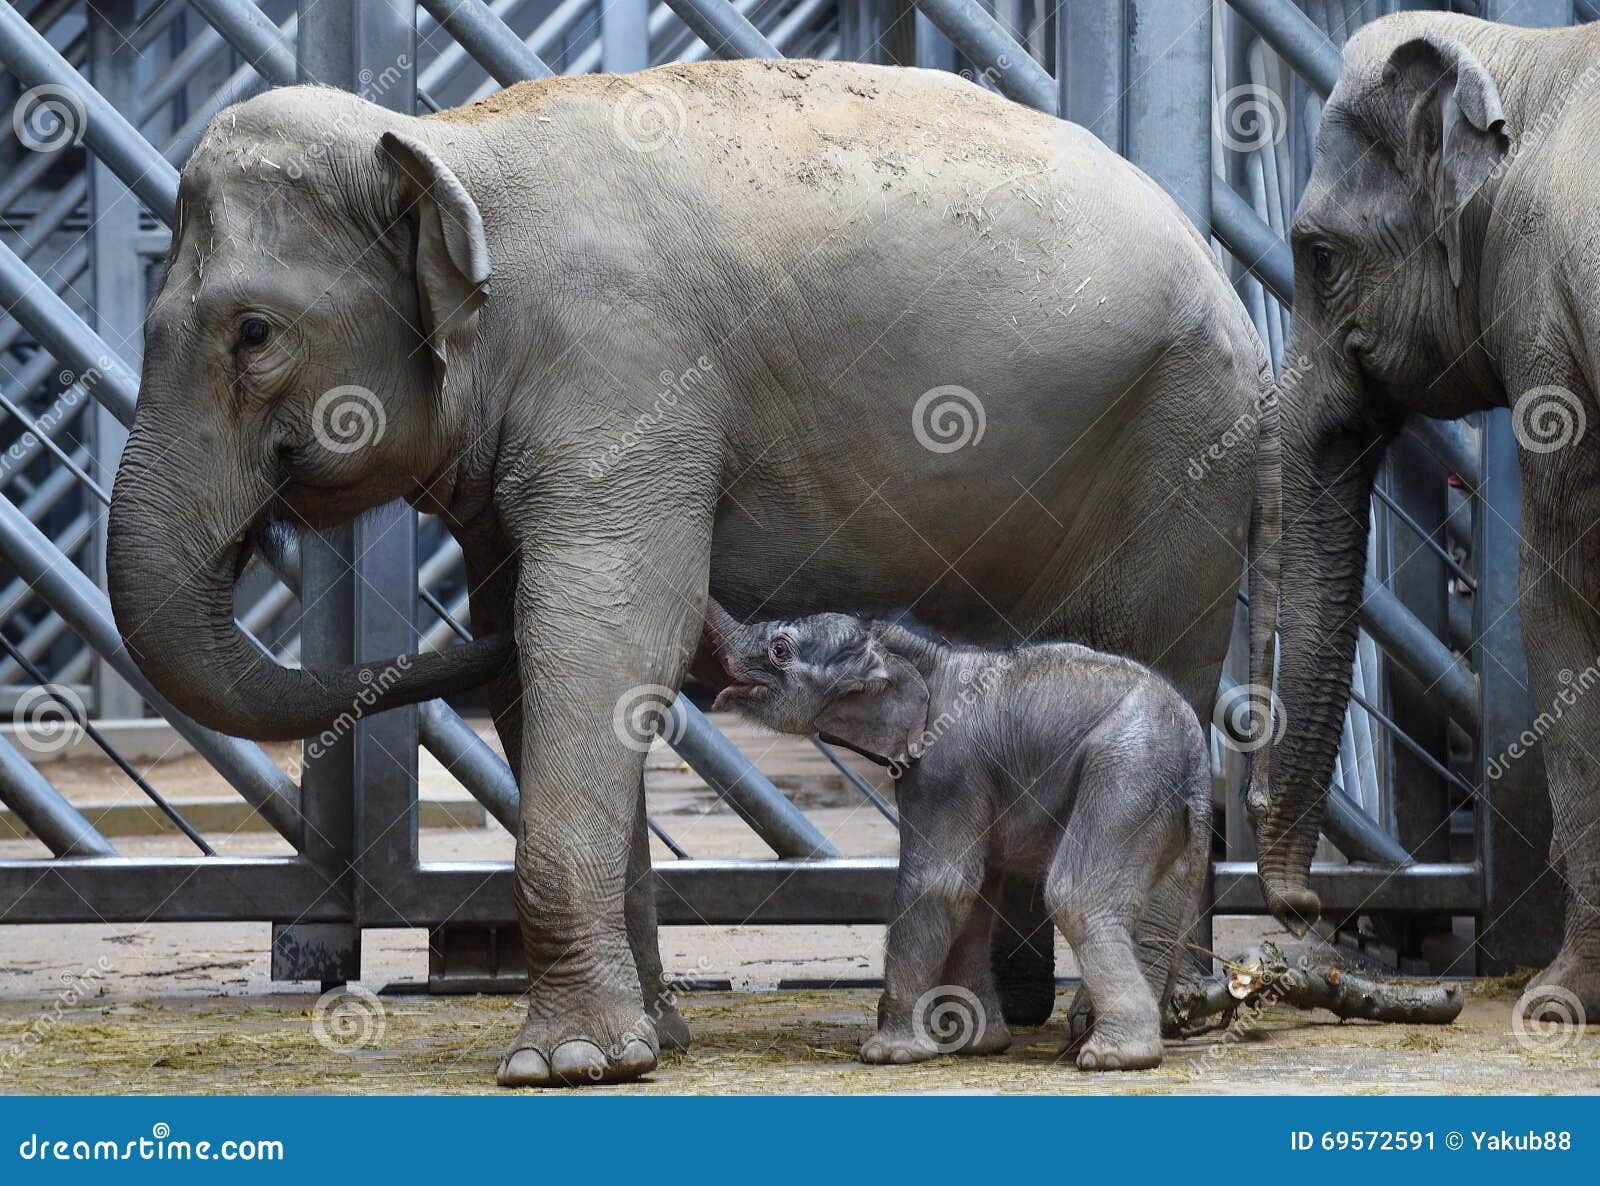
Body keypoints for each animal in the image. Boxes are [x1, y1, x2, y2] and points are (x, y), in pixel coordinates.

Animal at [702, 599, 1211, 1071]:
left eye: (780, 650)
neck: (912, 651)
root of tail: (1196, 752)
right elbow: (975, 895)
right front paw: (976, 1044)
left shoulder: (946, 767)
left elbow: (940, 884)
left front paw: (889, 1054)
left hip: (1126, 777)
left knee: (1077, 895)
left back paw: (1114, 1058)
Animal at [1249, 10, 1600, 1014]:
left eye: (1320, 256)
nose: (1299, 911)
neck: (1522, 52)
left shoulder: (1550, 322)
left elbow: (1555, 586)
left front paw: (1558, 1001)